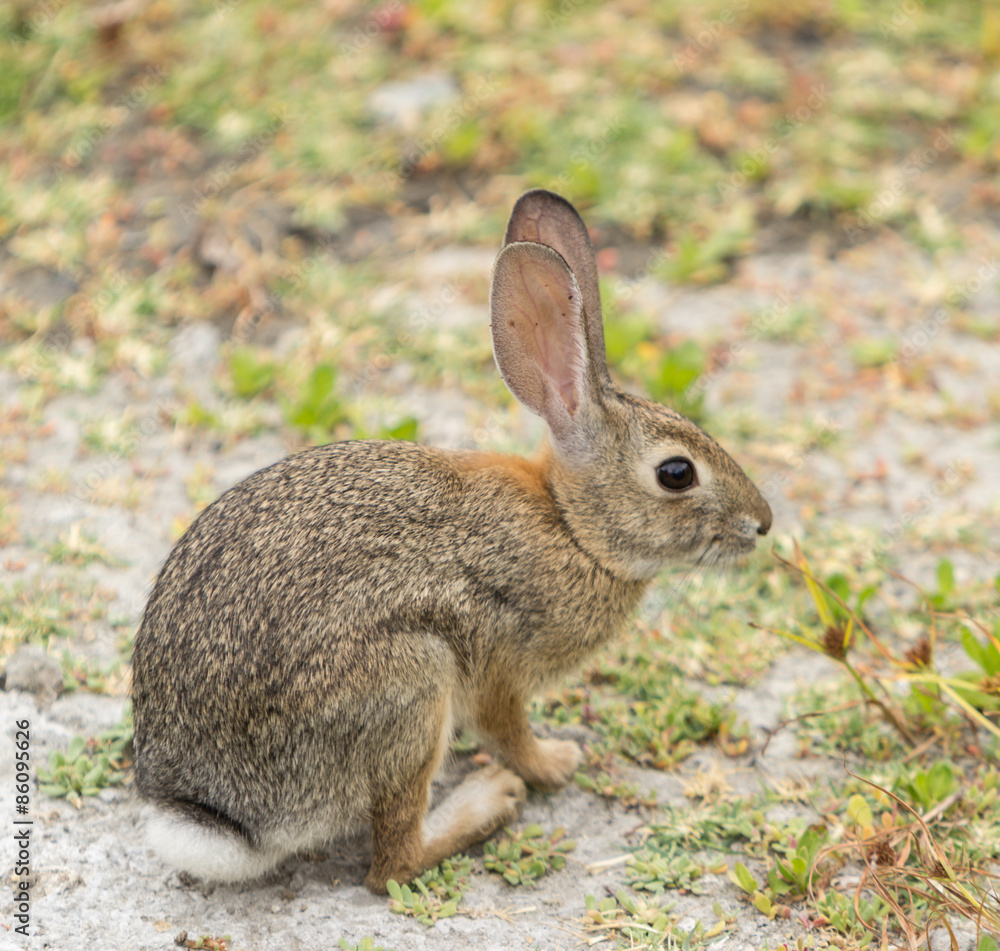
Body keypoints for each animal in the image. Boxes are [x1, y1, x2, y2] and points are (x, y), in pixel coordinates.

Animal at [131, 188, 773, 893]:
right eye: (676, 474)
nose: (763, 523)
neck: (571, 526)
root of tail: (220, 816)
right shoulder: (500, 664)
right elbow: (509, 733)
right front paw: (555, 763)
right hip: (411, 686)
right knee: (392, 863)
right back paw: (485, 802)